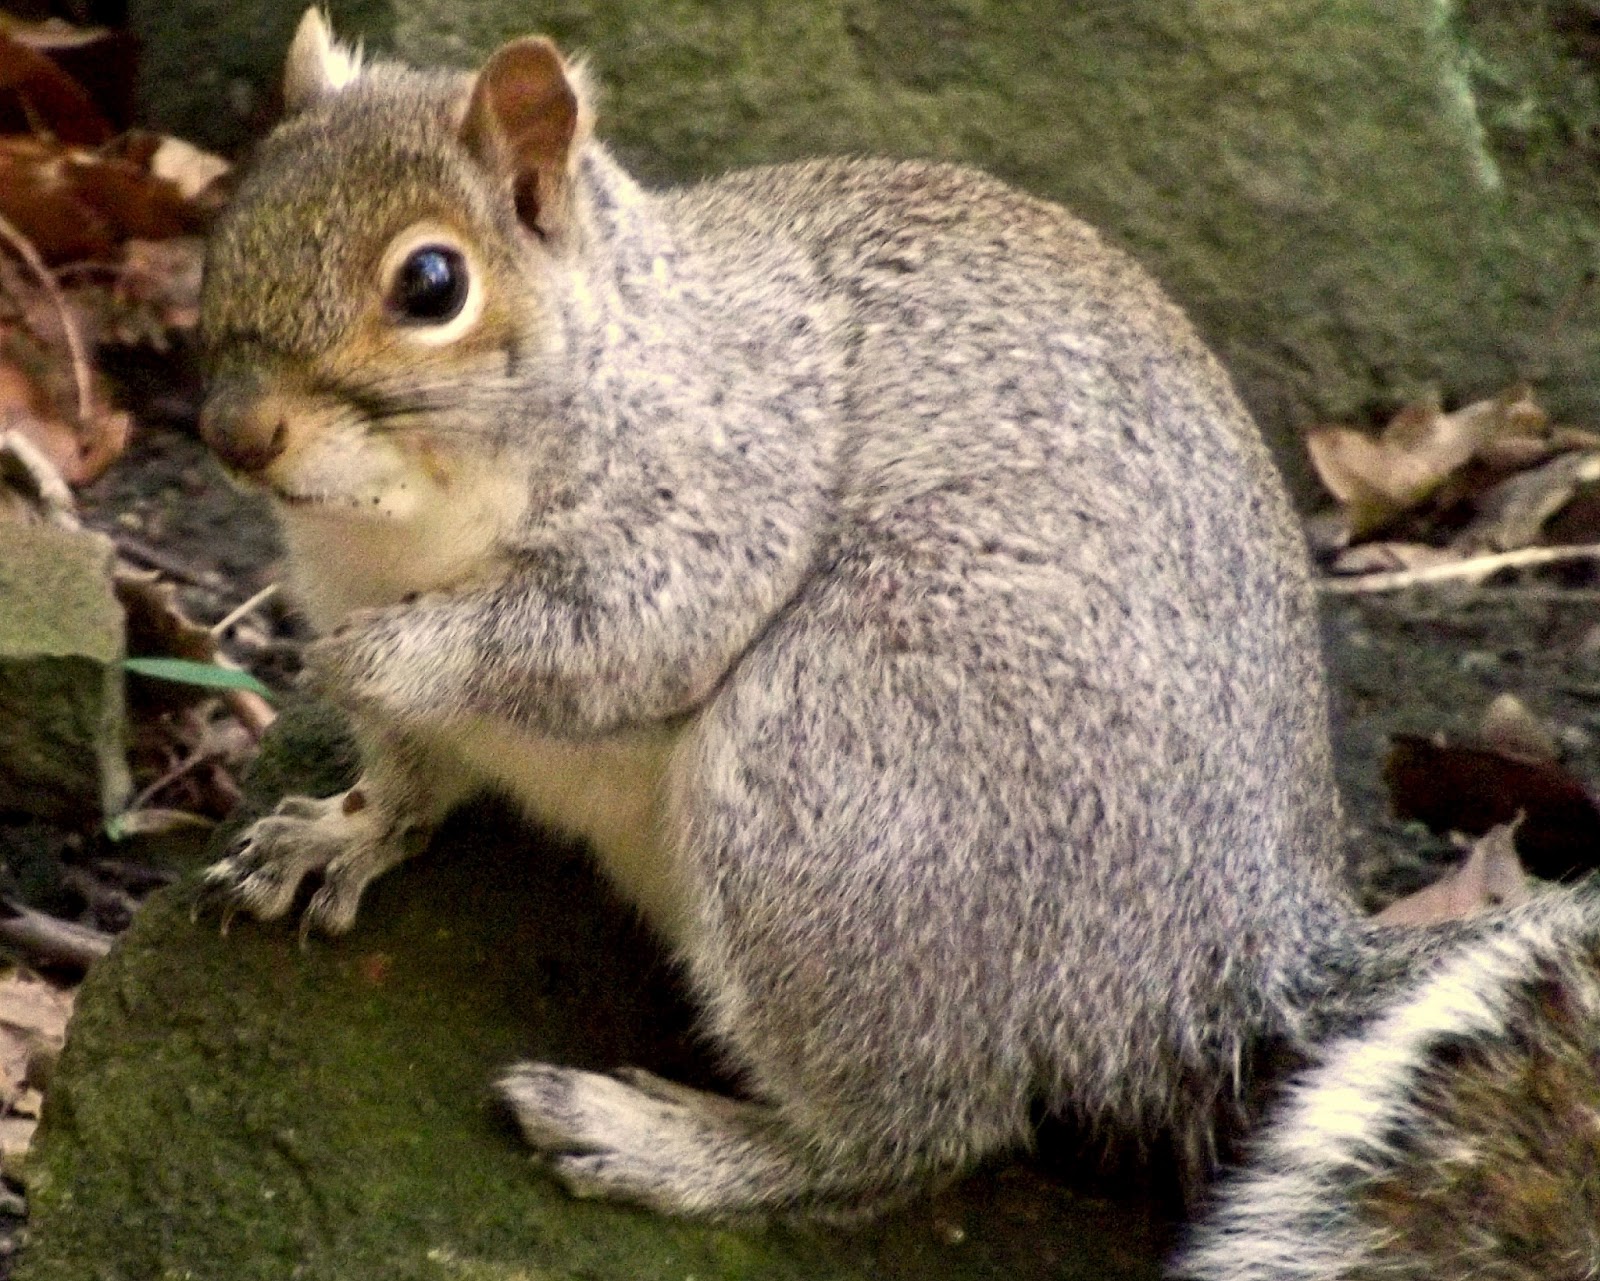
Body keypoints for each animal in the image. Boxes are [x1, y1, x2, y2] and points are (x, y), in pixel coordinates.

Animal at [196, 10, 1600, 1275]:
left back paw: (671, 1141)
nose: (235, 435)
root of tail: (1222, 951)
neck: (405, 528)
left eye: (431, 284)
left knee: (913, 1133)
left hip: (851, 776)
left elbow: (602, 635)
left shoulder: (719, 495)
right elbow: (411, 772)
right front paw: (338, 828)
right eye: (232, 214)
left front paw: (365, 664)